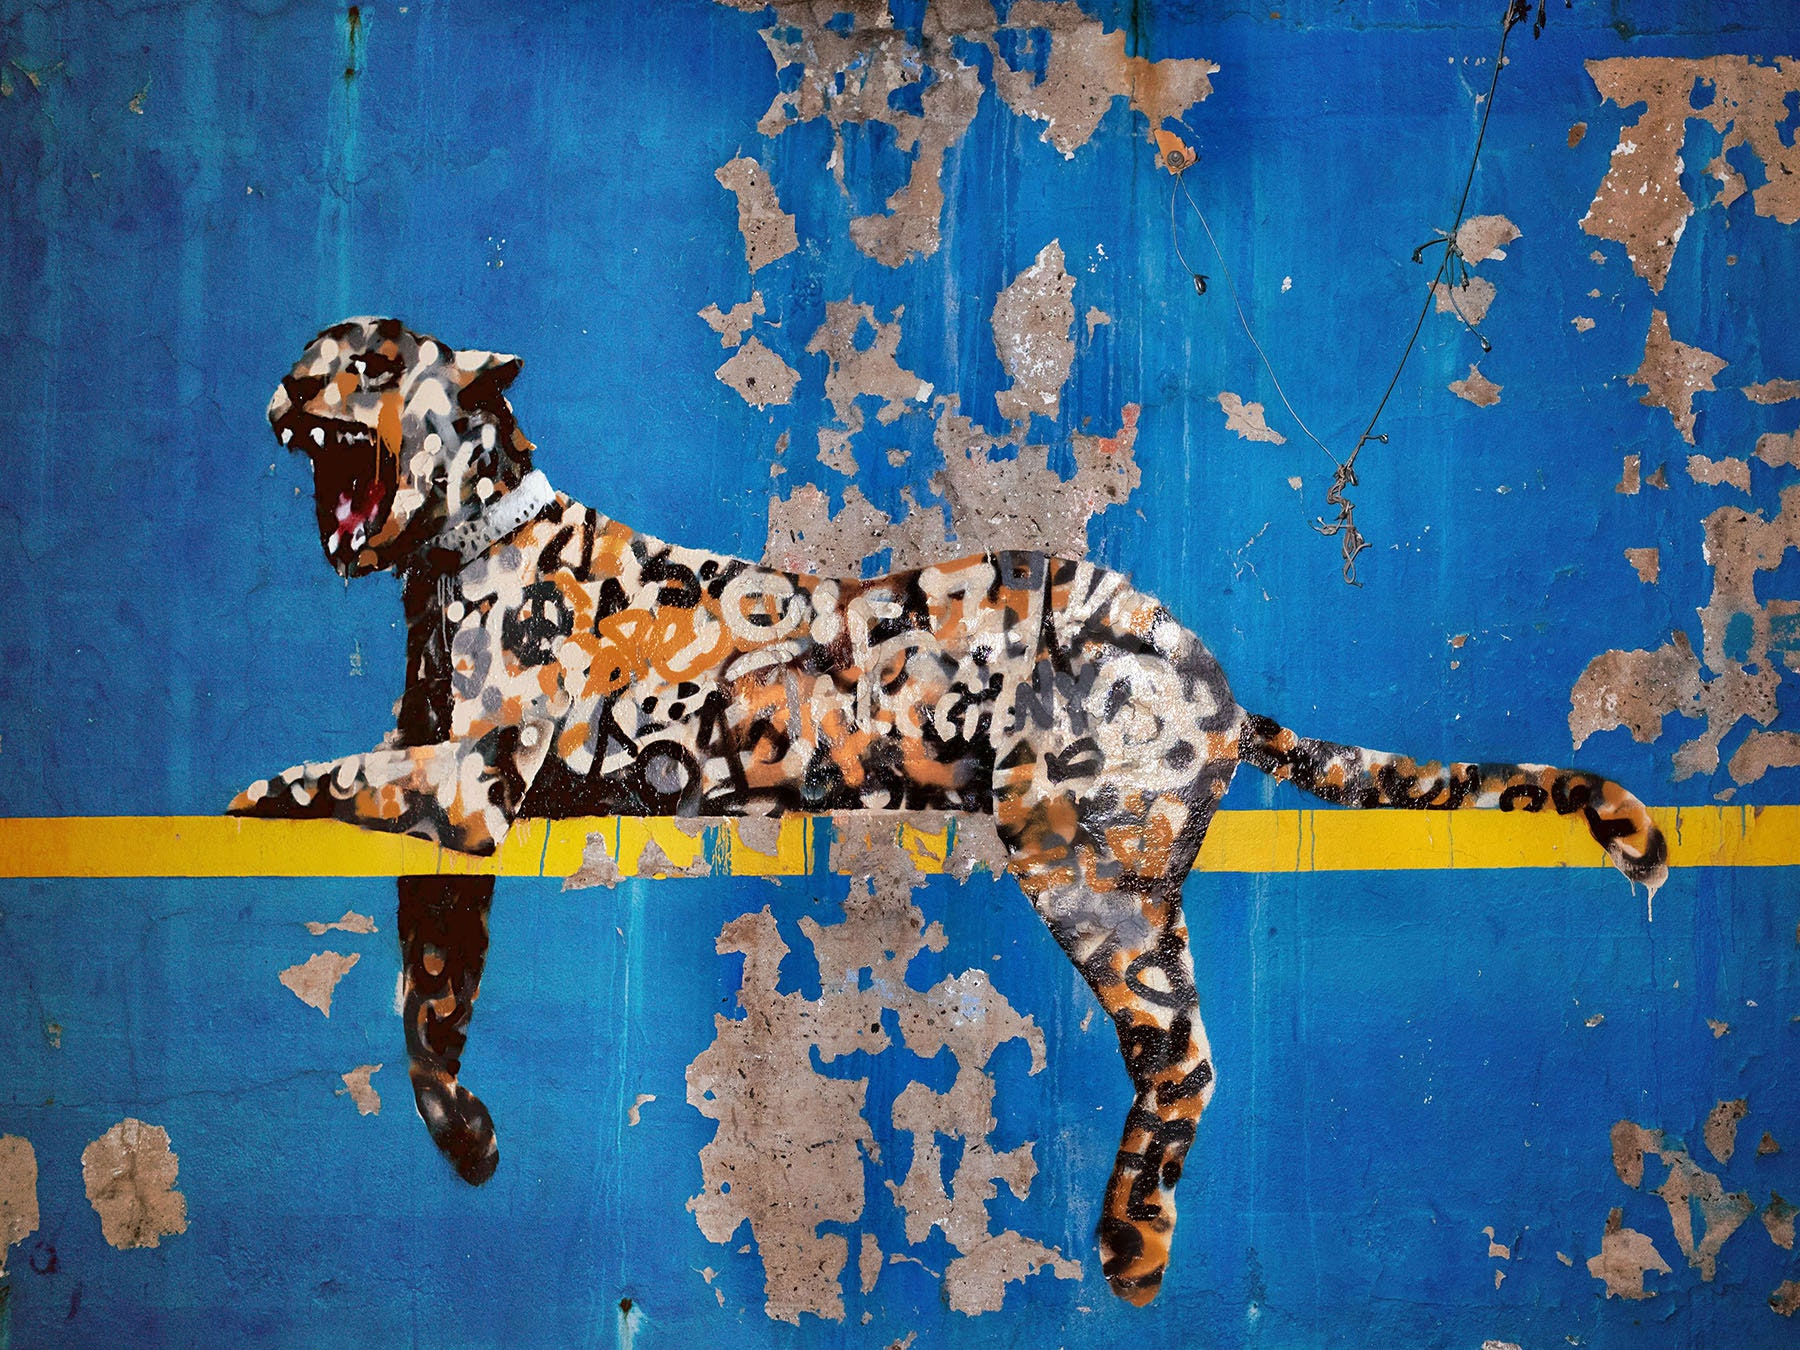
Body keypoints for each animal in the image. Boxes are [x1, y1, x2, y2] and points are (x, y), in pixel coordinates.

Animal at [233, 317, 1668, 1305]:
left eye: (371, 363)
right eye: (309, 356)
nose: (290, 392)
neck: (440, 562)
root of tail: (1212, 667)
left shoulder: (476, 782)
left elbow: (348, 778)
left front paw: (256, 785)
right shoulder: (457, 850)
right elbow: (423, 1002)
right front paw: (466, 1139)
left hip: (1079, 865)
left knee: (1183, 1052)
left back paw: (1130, 1248)